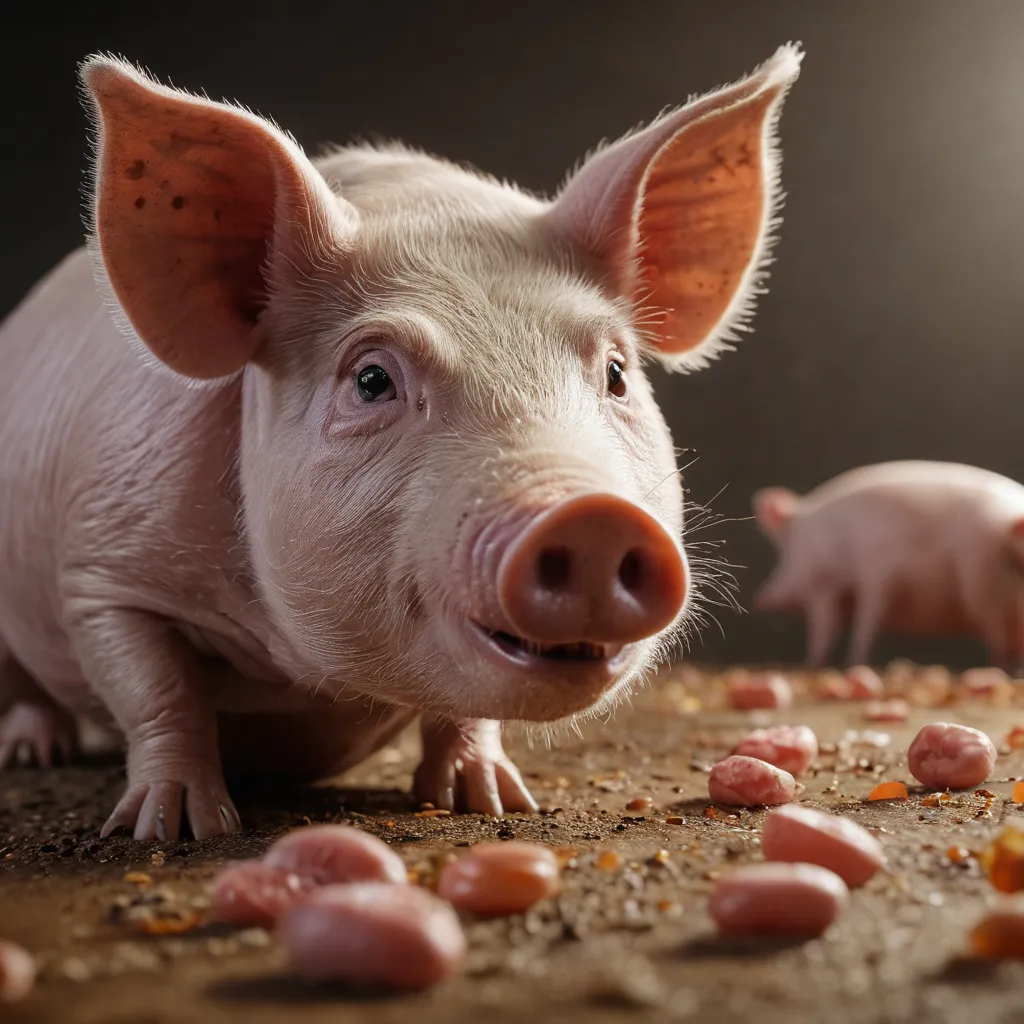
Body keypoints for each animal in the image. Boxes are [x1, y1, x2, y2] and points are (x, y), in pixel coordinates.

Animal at [0, 45, 802, 840]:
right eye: (372, 380)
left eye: (616, 372)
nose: (592, 516)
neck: (301, 679)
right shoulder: (104, 570)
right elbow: (158, 692)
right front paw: (177, 830)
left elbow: (467, 713)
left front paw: (495, 802)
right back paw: (33, 754)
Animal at [753, 461, 1024, 669]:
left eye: (783, 549)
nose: (759, 599)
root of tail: (1010, 523)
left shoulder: (855, 579)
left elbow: (846, 626)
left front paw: (827, 664)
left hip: (979, 579)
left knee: (997, 638)